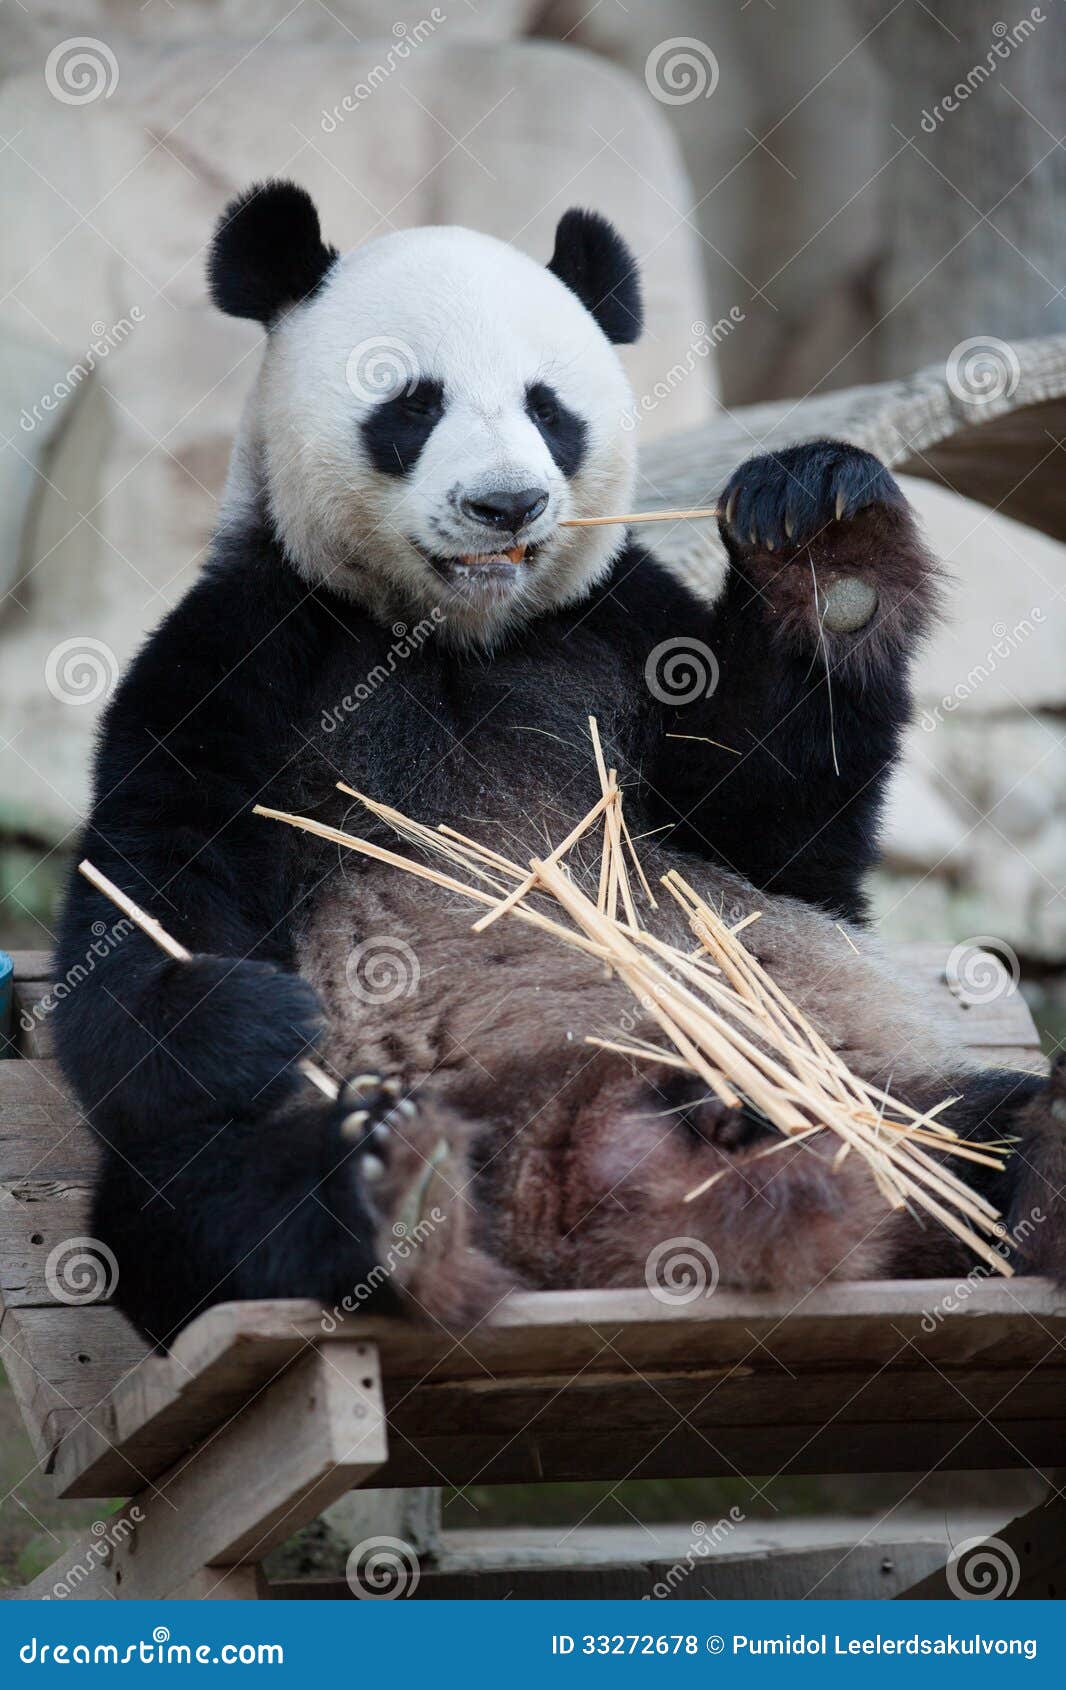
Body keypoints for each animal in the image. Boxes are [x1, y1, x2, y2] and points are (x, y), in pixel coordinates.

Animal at [54, 180, 1065, 1349]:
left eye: (549, 411)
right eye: (412, 405)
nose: (507, 504)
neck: (456, 635)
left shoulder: (619, 630)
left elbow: (774, 835)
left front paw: (827, 546)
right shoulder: (251, 641)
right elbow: (155, 872)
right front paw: (245, 1013)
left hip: (858, 1086)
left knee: (969, 1125)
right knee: (207, 1193)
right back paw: (394, 1189)